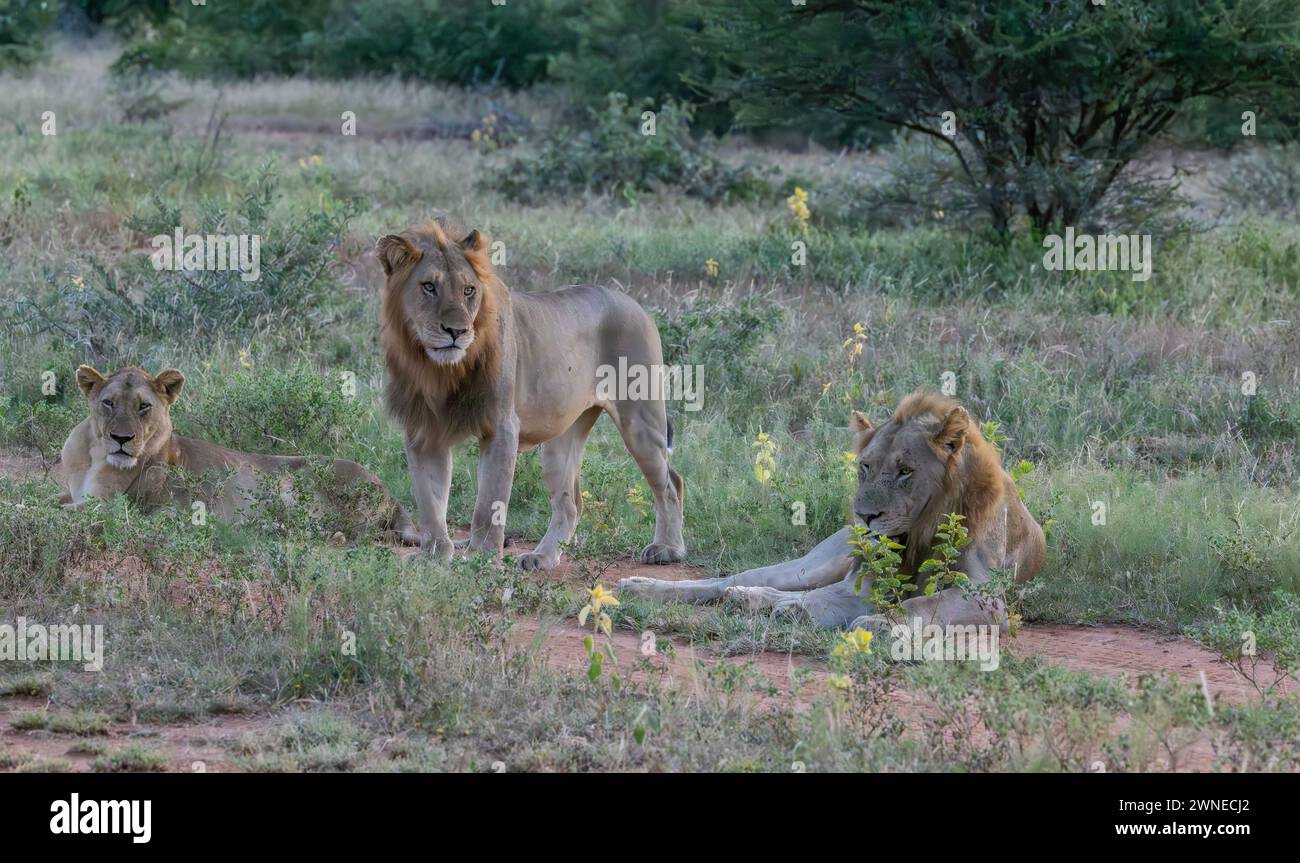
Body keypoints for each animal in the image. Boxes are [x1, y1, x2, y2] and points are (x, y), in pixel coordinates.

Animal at [60, 365, 416, 542]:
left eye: (143, 406)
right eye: (108, 403)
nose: (121, 438)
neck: (93, 457)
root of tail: (387, 490)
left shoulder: (125, 507)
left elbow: (65, 511)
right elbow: (57, 501)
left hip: (296, 486)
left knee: (342, 532)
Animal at [376, 217, 685, 570]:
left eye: (469, 290)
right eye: (428, 287)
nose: (457, 331)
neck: (438, 370)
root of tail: (636, 304)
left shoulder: (501, 427)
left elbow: (489, 504)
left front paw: (481, 558)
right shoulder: (423, 432)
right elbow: (429, 501)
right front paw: (433, 555)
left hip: (640, 419)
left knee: (671, 482)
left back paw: (667, 549)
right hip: (561, 438)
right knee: (570, 503)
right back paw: (542, 557)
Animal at [620, 391, 1045, 632]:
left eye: (905, 471)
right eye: (866, 466)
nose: (864, 517)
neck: (922, 530)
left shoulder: (986, 597)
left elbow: (921, 603)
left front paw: (878, 623)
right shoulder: (866, 584)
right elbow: (841, 599)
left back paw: (755, 600)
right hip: (820, 563)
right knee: (734, 580)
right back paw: (641, 585)